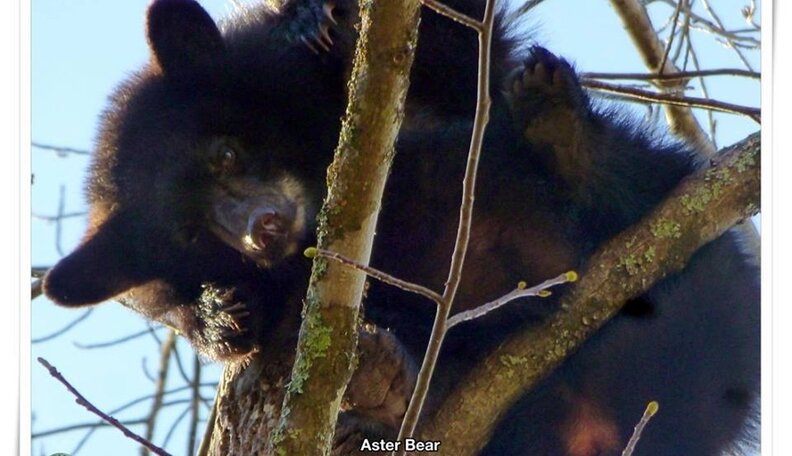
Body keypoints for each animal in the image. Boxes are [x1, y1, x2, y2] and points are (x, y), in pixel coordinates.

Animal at [41, 0, 760, 454]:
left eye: (225, 154)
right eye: (189, 235)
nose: (261, 228)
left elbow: (457, 51)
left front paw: (312, 18)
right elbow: (244, 326)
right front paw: (221, 313)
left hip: (700, 264)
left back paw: (561, 134)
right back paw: (389, 392)